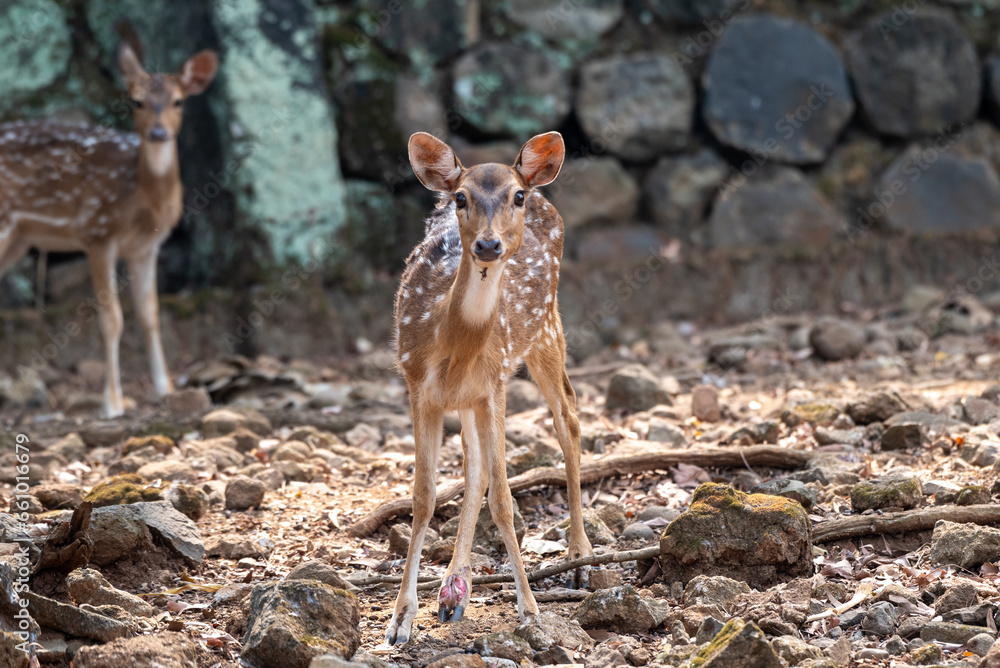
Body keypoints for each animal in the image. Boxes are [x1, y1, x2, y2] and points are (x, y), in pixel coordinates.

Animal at [0, 44, 218, 418]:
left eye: (179, 101)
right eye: (136, 101)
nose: (158, 133)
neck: (141, 203)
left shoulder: (147, 247)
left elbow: (150, 314)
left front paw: (166, 388)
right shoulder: (97, 233)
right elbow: (112, 319)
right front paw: (113, 402)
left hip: (17, 240)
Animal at [385, 131, 593, 645]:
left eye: (514, 197)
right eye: (461, 198)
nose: (488, 243)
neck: (453, 343)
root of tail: (545, 191)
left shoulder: (495, 380)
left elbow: (503, 500)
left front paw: (531, 612)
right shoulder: (419, 387)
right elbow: (424, 498)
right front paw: (400, 619)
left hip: (545, 328)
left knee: (569, 416)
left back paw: (580, 556)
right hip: (473, 394)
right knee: (475, 465)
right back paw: (453, 589)